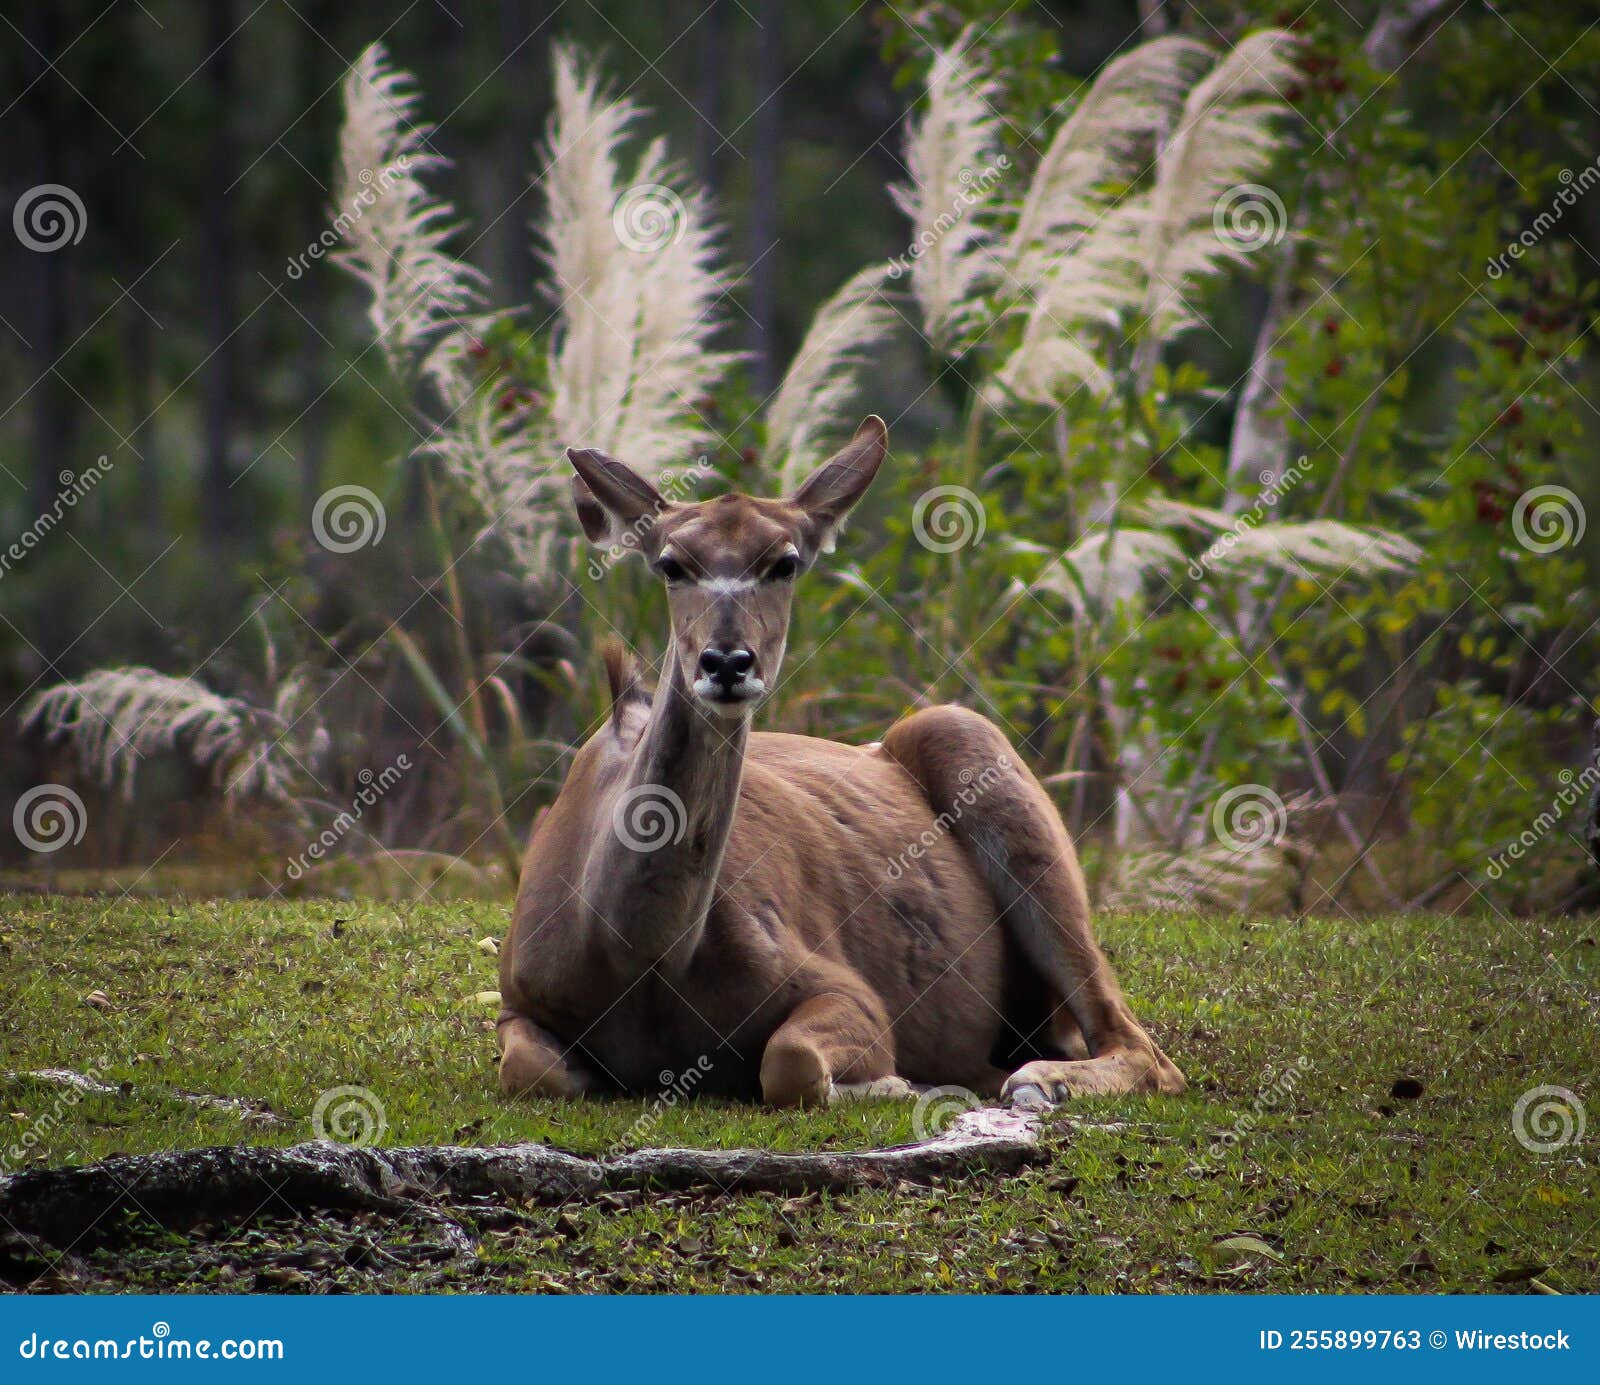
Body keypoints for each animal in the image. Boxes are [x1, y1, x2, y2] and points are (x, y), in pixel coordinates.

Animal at [497, 416, 1186, 1109]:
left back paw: (1035, 1081)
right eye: (671, 563)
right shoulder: (515, 999)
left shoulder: (845, 989)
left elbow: (791, 1062)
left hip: (975, 750)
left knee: (1149, 1056)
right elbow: (530, 1070)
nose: (727, 663)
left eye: (785, 563)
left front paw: (898, 1084)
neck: (641, 958)